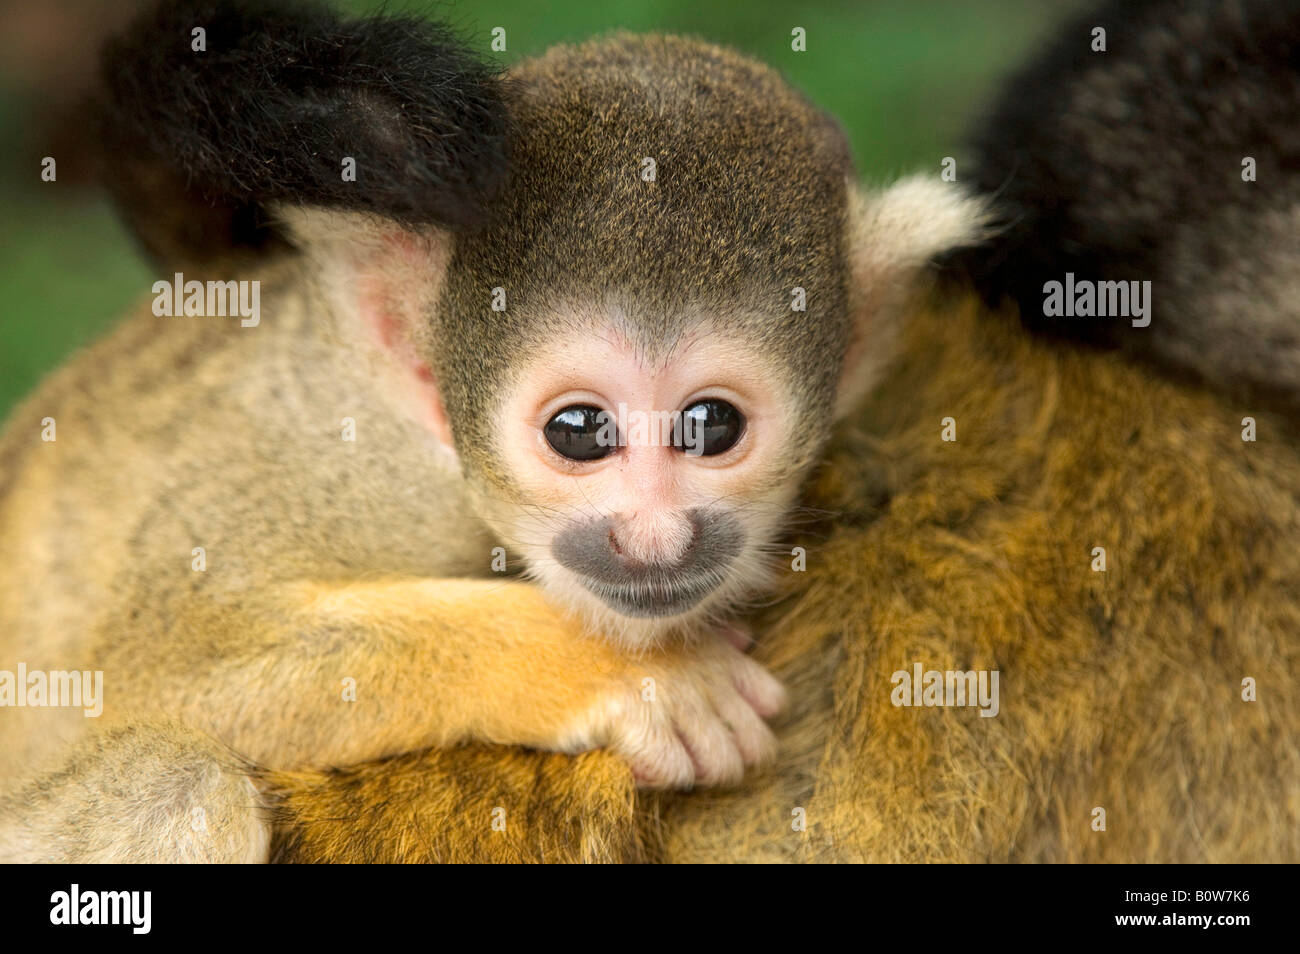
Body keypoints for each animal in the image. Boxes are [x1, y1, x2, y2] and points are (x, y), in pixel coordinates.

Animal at [0, 0, 989, 862]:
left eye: (712, 424)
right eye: (580, 431)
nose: (655, 539)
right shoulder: (343, 470)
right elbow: (161, 665)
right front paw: (618, 676)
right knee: (180, 782)